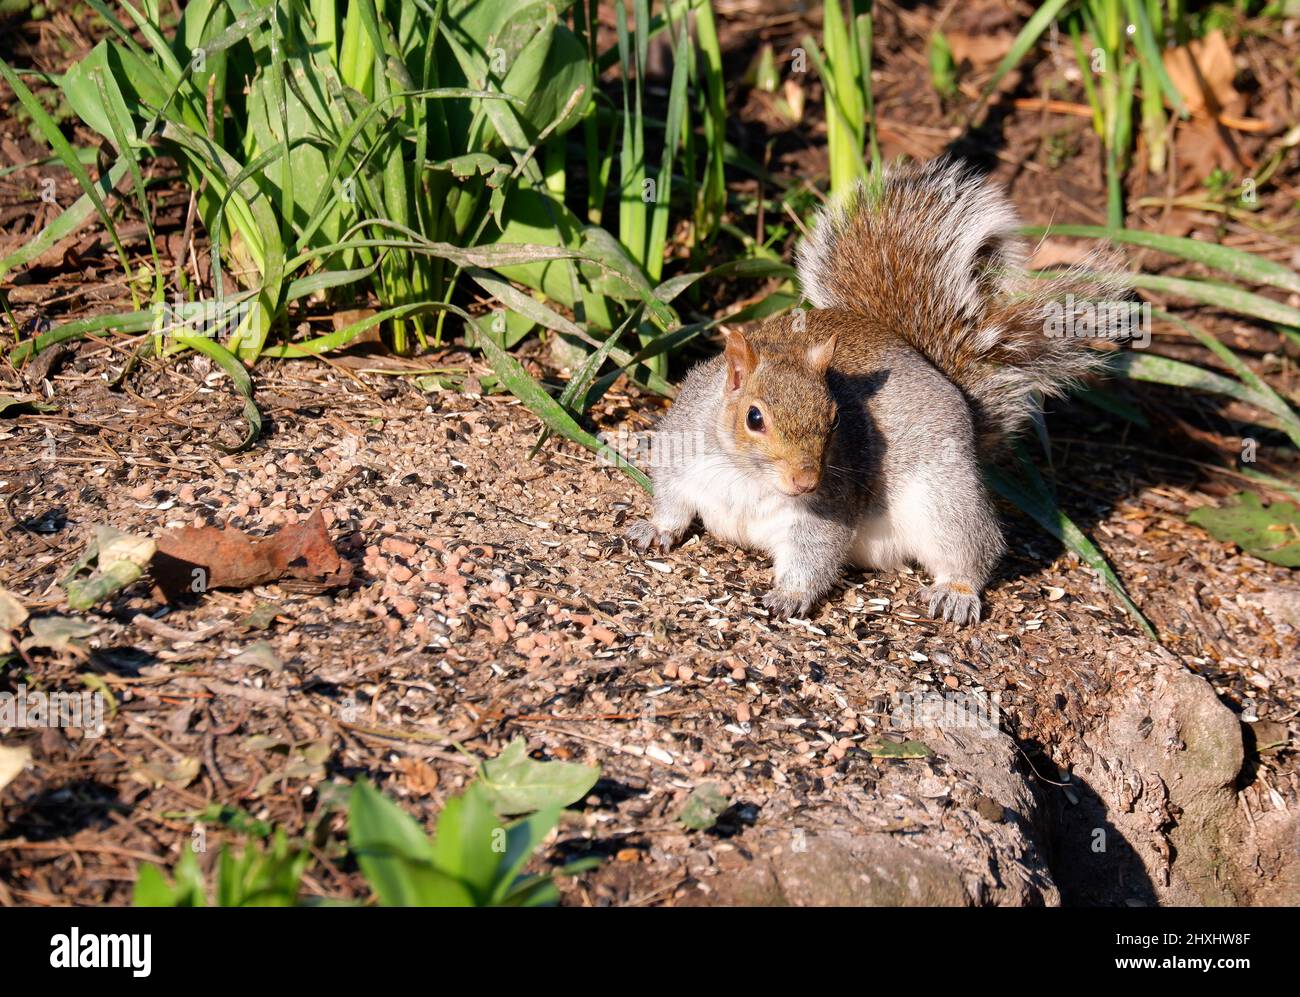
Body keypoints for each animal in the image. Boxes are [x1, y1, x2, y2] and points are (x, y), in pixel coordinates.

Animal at [626, 157, 1122, 625]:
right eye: (754, 418)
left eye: (835, 420)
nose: (805, 481)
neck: (748, 477)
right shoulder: (681, 451)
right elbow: (670, 499)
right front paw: (654, 529)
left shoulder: (827, 506)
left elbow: (814, 552)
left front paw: (791, 595)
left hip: (944, 497)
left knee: (972, 546)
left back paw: (957, 591)